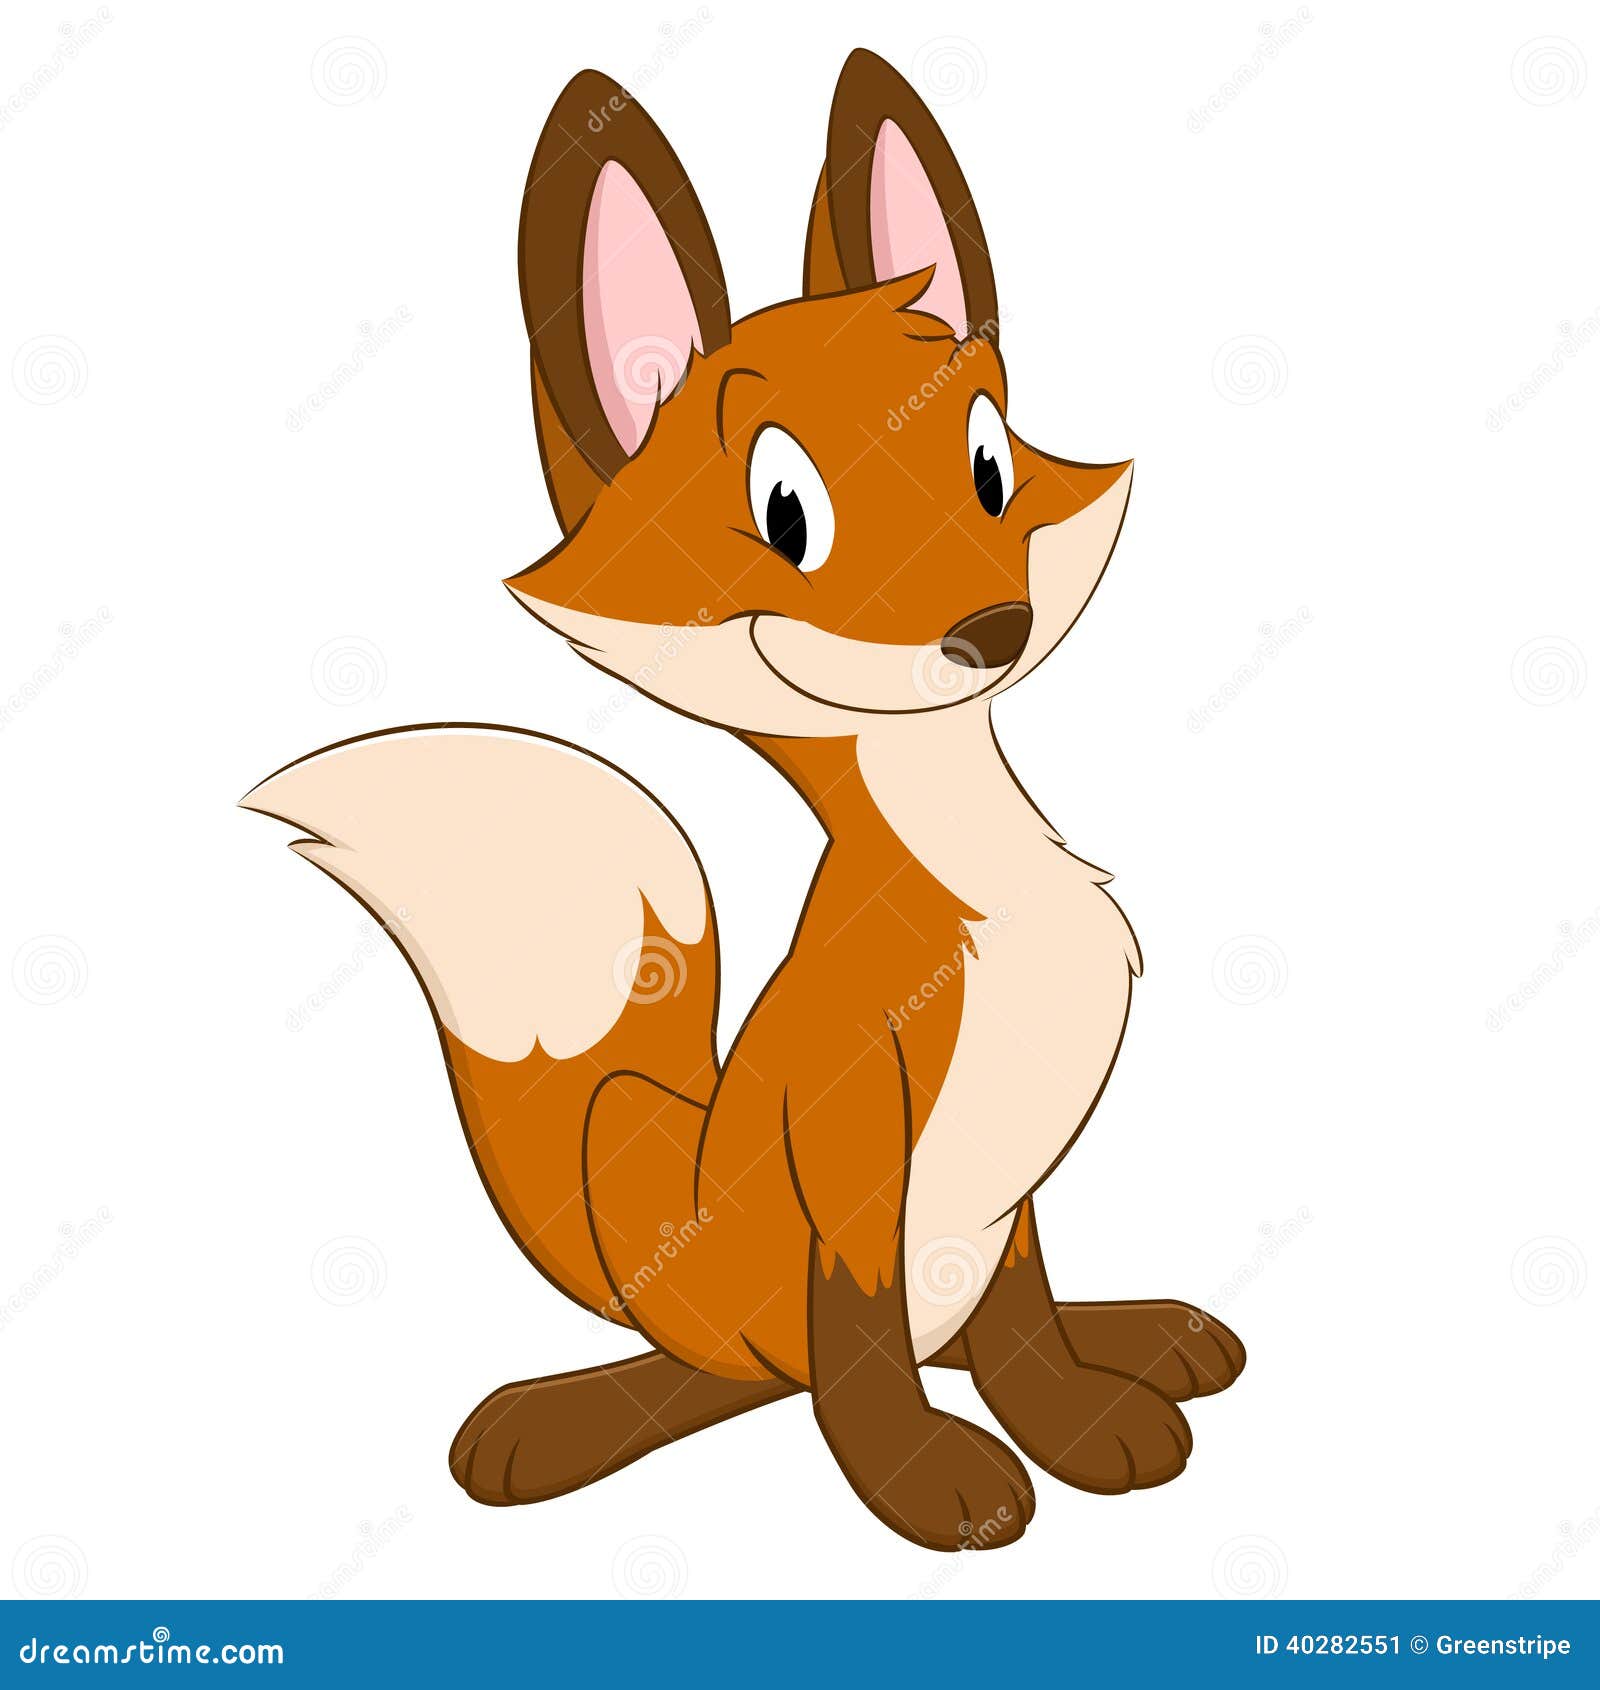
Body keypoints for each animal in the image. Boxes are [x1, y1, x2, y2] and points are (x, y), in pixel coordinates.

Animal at [244, 50, 1245, 1551]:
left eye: (990, 468)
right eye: (787, 514)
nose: (992, 628)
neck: (975, 871)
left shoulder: (1012, 1193)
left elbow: (1024, 1321)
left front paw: (1073, 1410)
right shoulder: (851, 1149)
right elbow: (873, 1347)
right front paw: (922, 1474)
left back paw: (1145, 1330)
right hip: (720, 1268)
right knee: (737, 1376)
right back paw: (558, 1418)